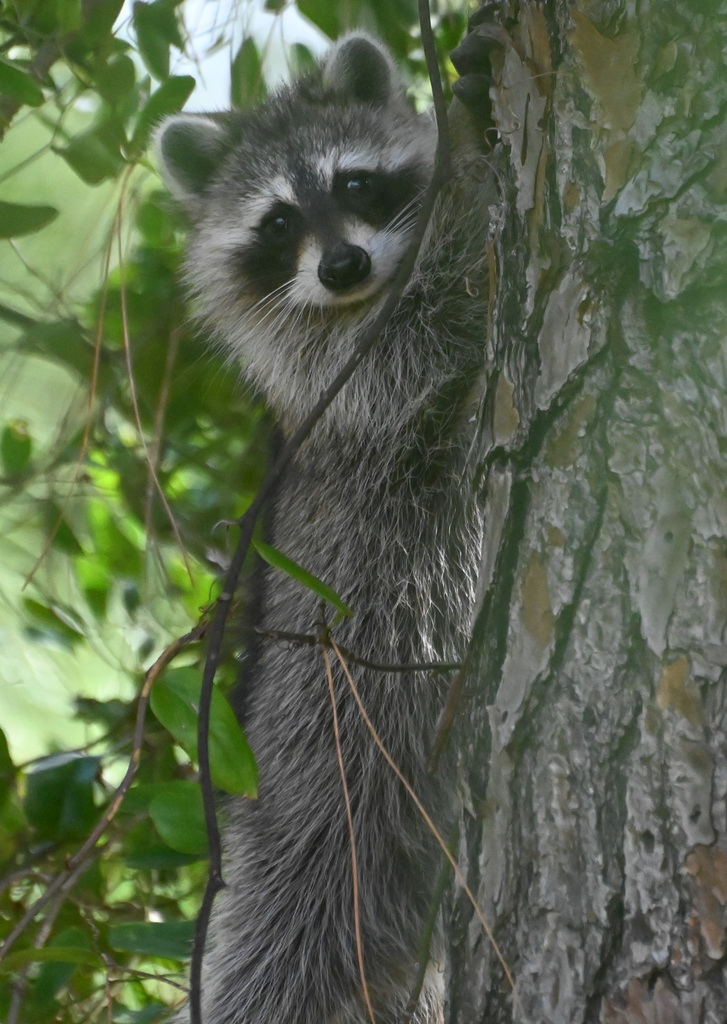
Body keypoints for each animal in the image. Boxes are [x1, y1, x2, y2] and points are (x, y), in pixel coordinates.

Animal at [157, 23, 497, 1024]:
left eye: (353, 183)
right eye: (276, 223)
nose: (342, 265)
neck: (354, 299)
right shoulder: (328, 376)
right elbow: (423, 337)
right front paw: (471, 169)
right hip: (318, 755)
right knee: (288, 933)